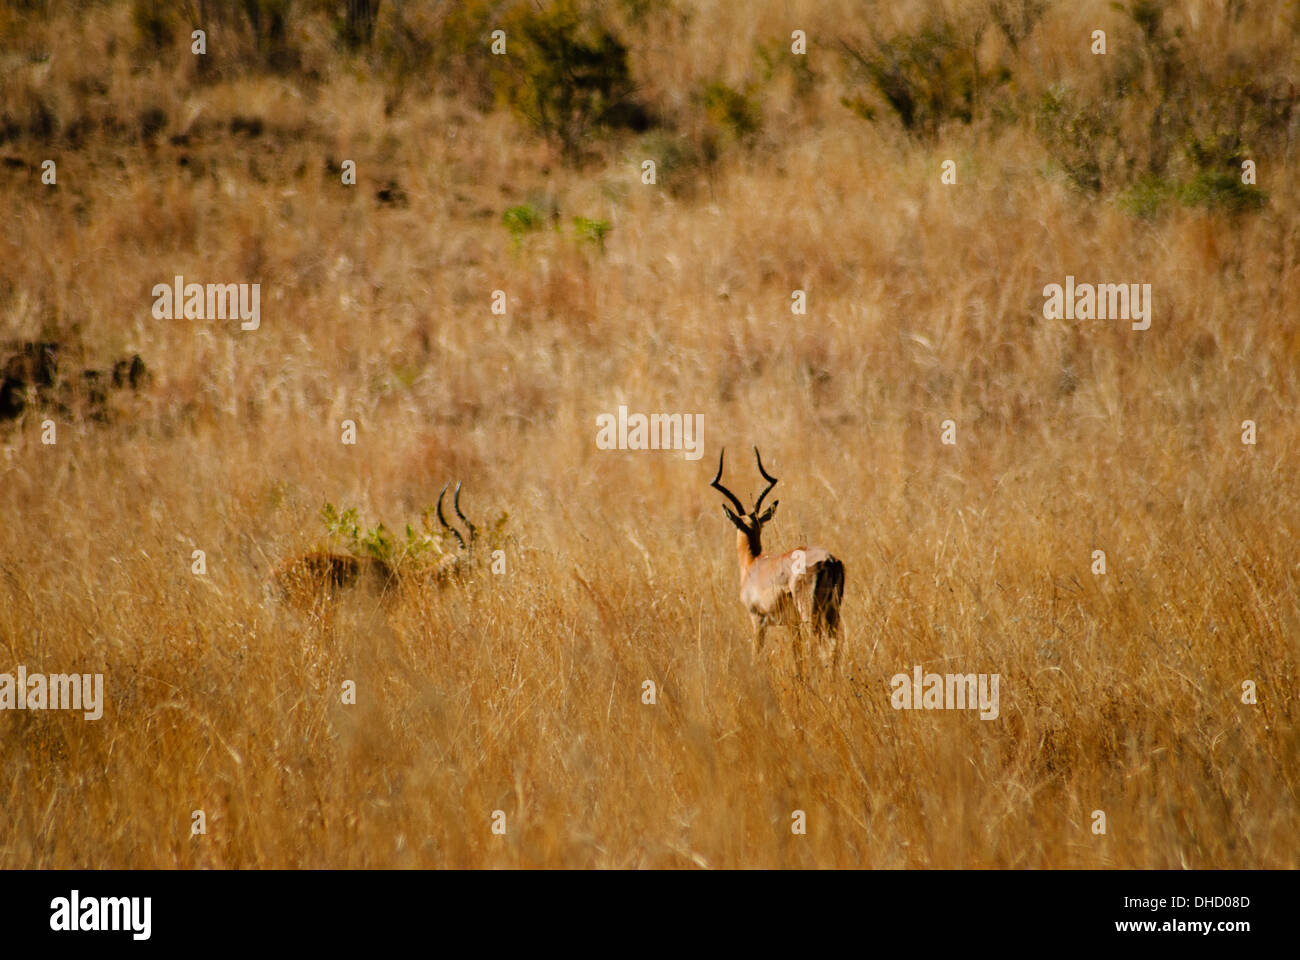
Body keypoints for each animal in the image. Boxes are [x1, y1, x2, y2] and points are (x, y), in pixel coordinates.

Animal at [710, 447, 845, 672]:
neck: (753, 565)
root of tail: (830, 561)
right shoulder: (792, 625)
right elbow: (796, 658)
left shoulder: (758, 619)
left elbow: (757, 655)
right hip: (832, 613)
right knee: (834, 647)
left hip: (811, 614)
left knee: (819, 649)